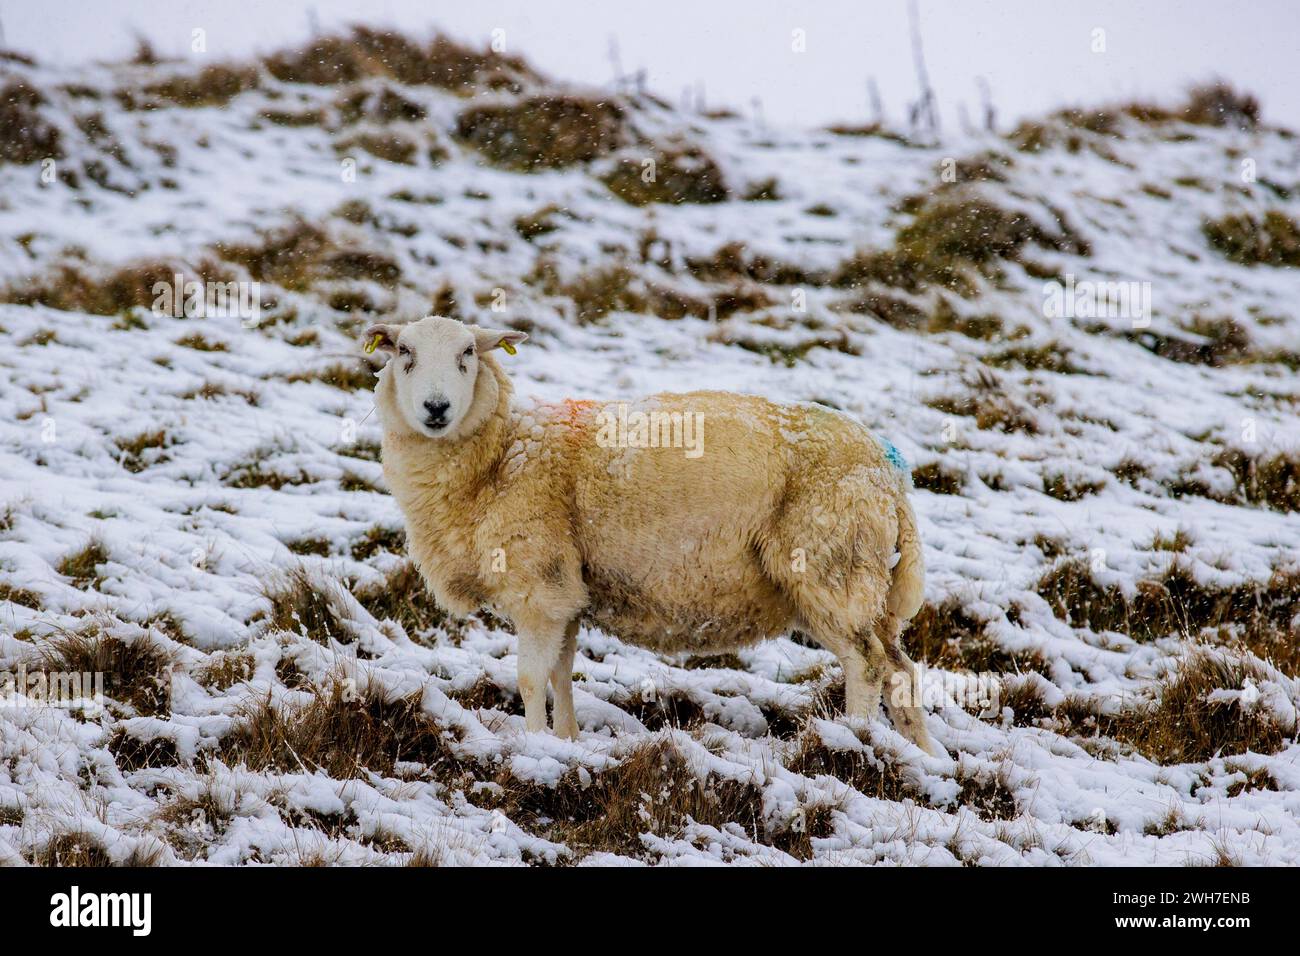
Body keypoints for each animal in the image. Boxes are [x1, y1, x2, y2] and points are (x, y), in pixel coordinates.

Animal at [365, 316, 943, 757]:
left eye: (467, 352)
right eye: (404, 352)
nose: (436, 408)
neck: (502, 454)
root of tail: (891, 471)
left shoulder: (539, 586)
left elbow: (530, 678)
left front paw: (534, 745)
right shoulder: (567, 591)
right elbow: (561, 673)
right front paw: (567, 741)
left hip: (831, 565)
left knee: (866, 664)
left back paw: (853, 739)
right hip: (869, 580)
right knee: (902, 670)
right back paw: (921, 756)